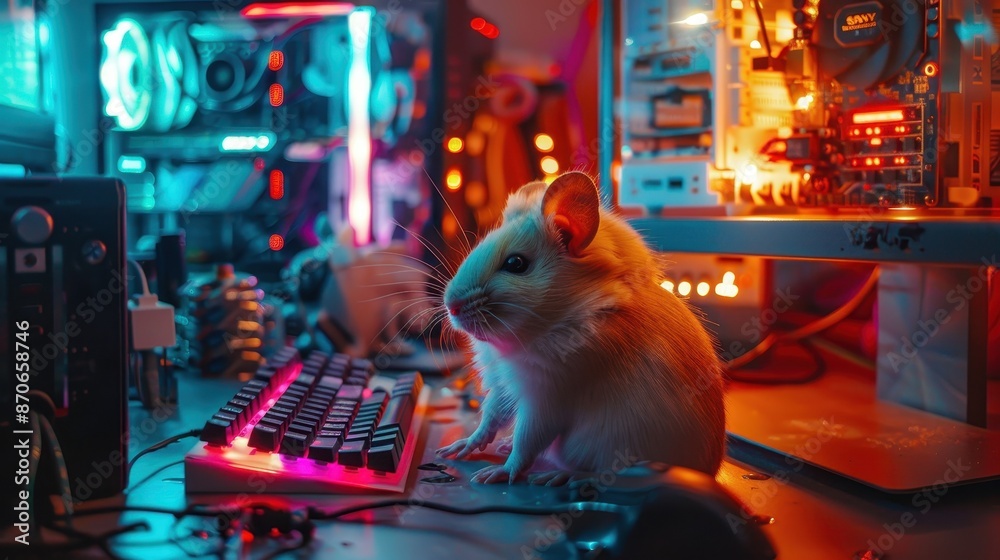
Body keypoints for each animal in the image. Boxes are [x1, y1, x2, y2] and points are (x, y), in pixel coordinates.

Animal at [437, 171, 726, 484]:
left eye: (516, 263)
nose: (450, 306)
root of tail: (710, 473)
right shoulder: (501, 383)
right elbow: (489, 417)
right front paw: (458, 448)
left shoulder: (548, 398)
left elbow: (526, 441)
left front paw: (497, 473)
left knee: (606, 475)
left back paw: (557, 476)